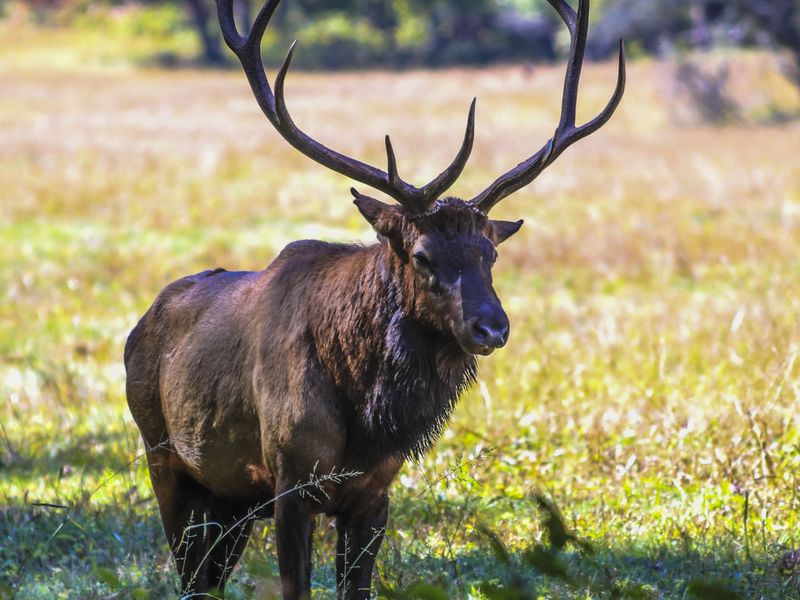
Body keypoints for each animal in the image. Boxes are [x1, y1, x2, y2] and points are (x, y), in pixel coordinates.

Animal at [124, 0, 625, 597]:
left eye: (491, 253)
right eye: (423, 256)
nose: (492, 327)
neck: (363, 414)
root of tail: (138, 328)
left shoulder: (374, 494)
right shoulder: (289, 481)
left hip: (228, 501)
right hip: (164, 459)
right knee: (189, 574)